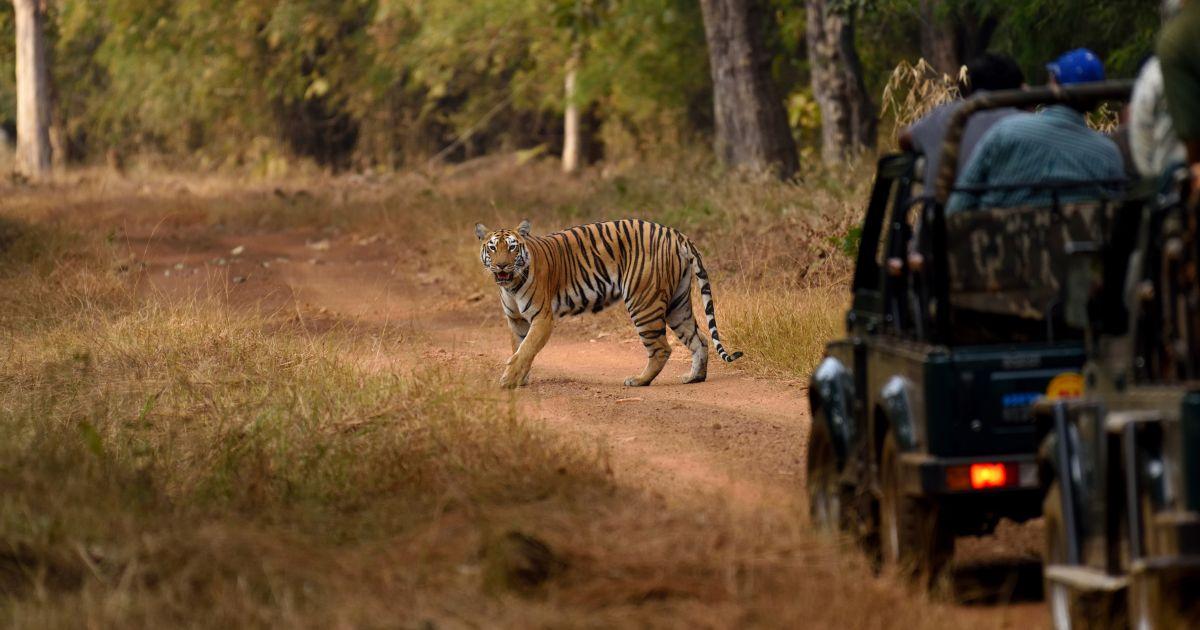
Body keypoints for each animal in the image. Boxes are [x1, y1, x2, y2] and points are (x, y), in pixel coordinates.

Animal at [474, 218, 743, 389]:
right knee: (700, 339)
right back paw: (694, 378)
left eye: (512, 247)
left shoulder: (542, 318)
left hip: (643, 301)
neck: (510, 286)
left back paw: (639, 381)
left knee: (661, 348)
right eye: (492, 248)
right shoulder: (516, 320)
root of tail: (674, 232)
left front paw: (508, 380)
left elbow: (526, 349)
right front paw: (520, 378)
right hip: (678, 305)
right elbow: (519, 348)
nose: (501, 266)